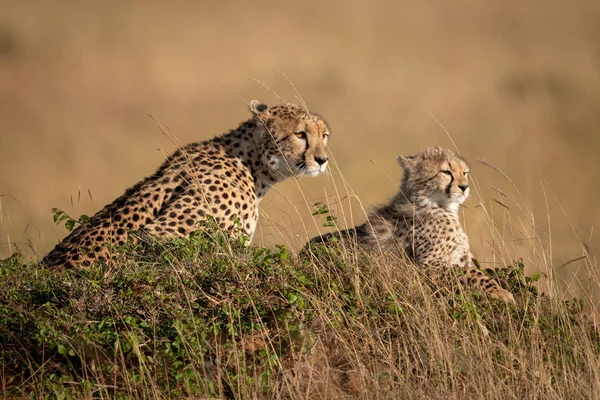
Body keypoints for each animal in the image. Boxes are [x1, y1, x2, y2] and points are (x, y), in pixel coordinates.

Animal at [310, 147, 516, 304]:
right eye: (446, 172)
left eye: (464, 173)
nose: (464, 187)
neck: (435, 204)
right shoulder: (429, 265)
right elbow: (473, 273)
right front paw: (501, 293)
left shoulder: (461, 258)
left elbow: (473, 269)